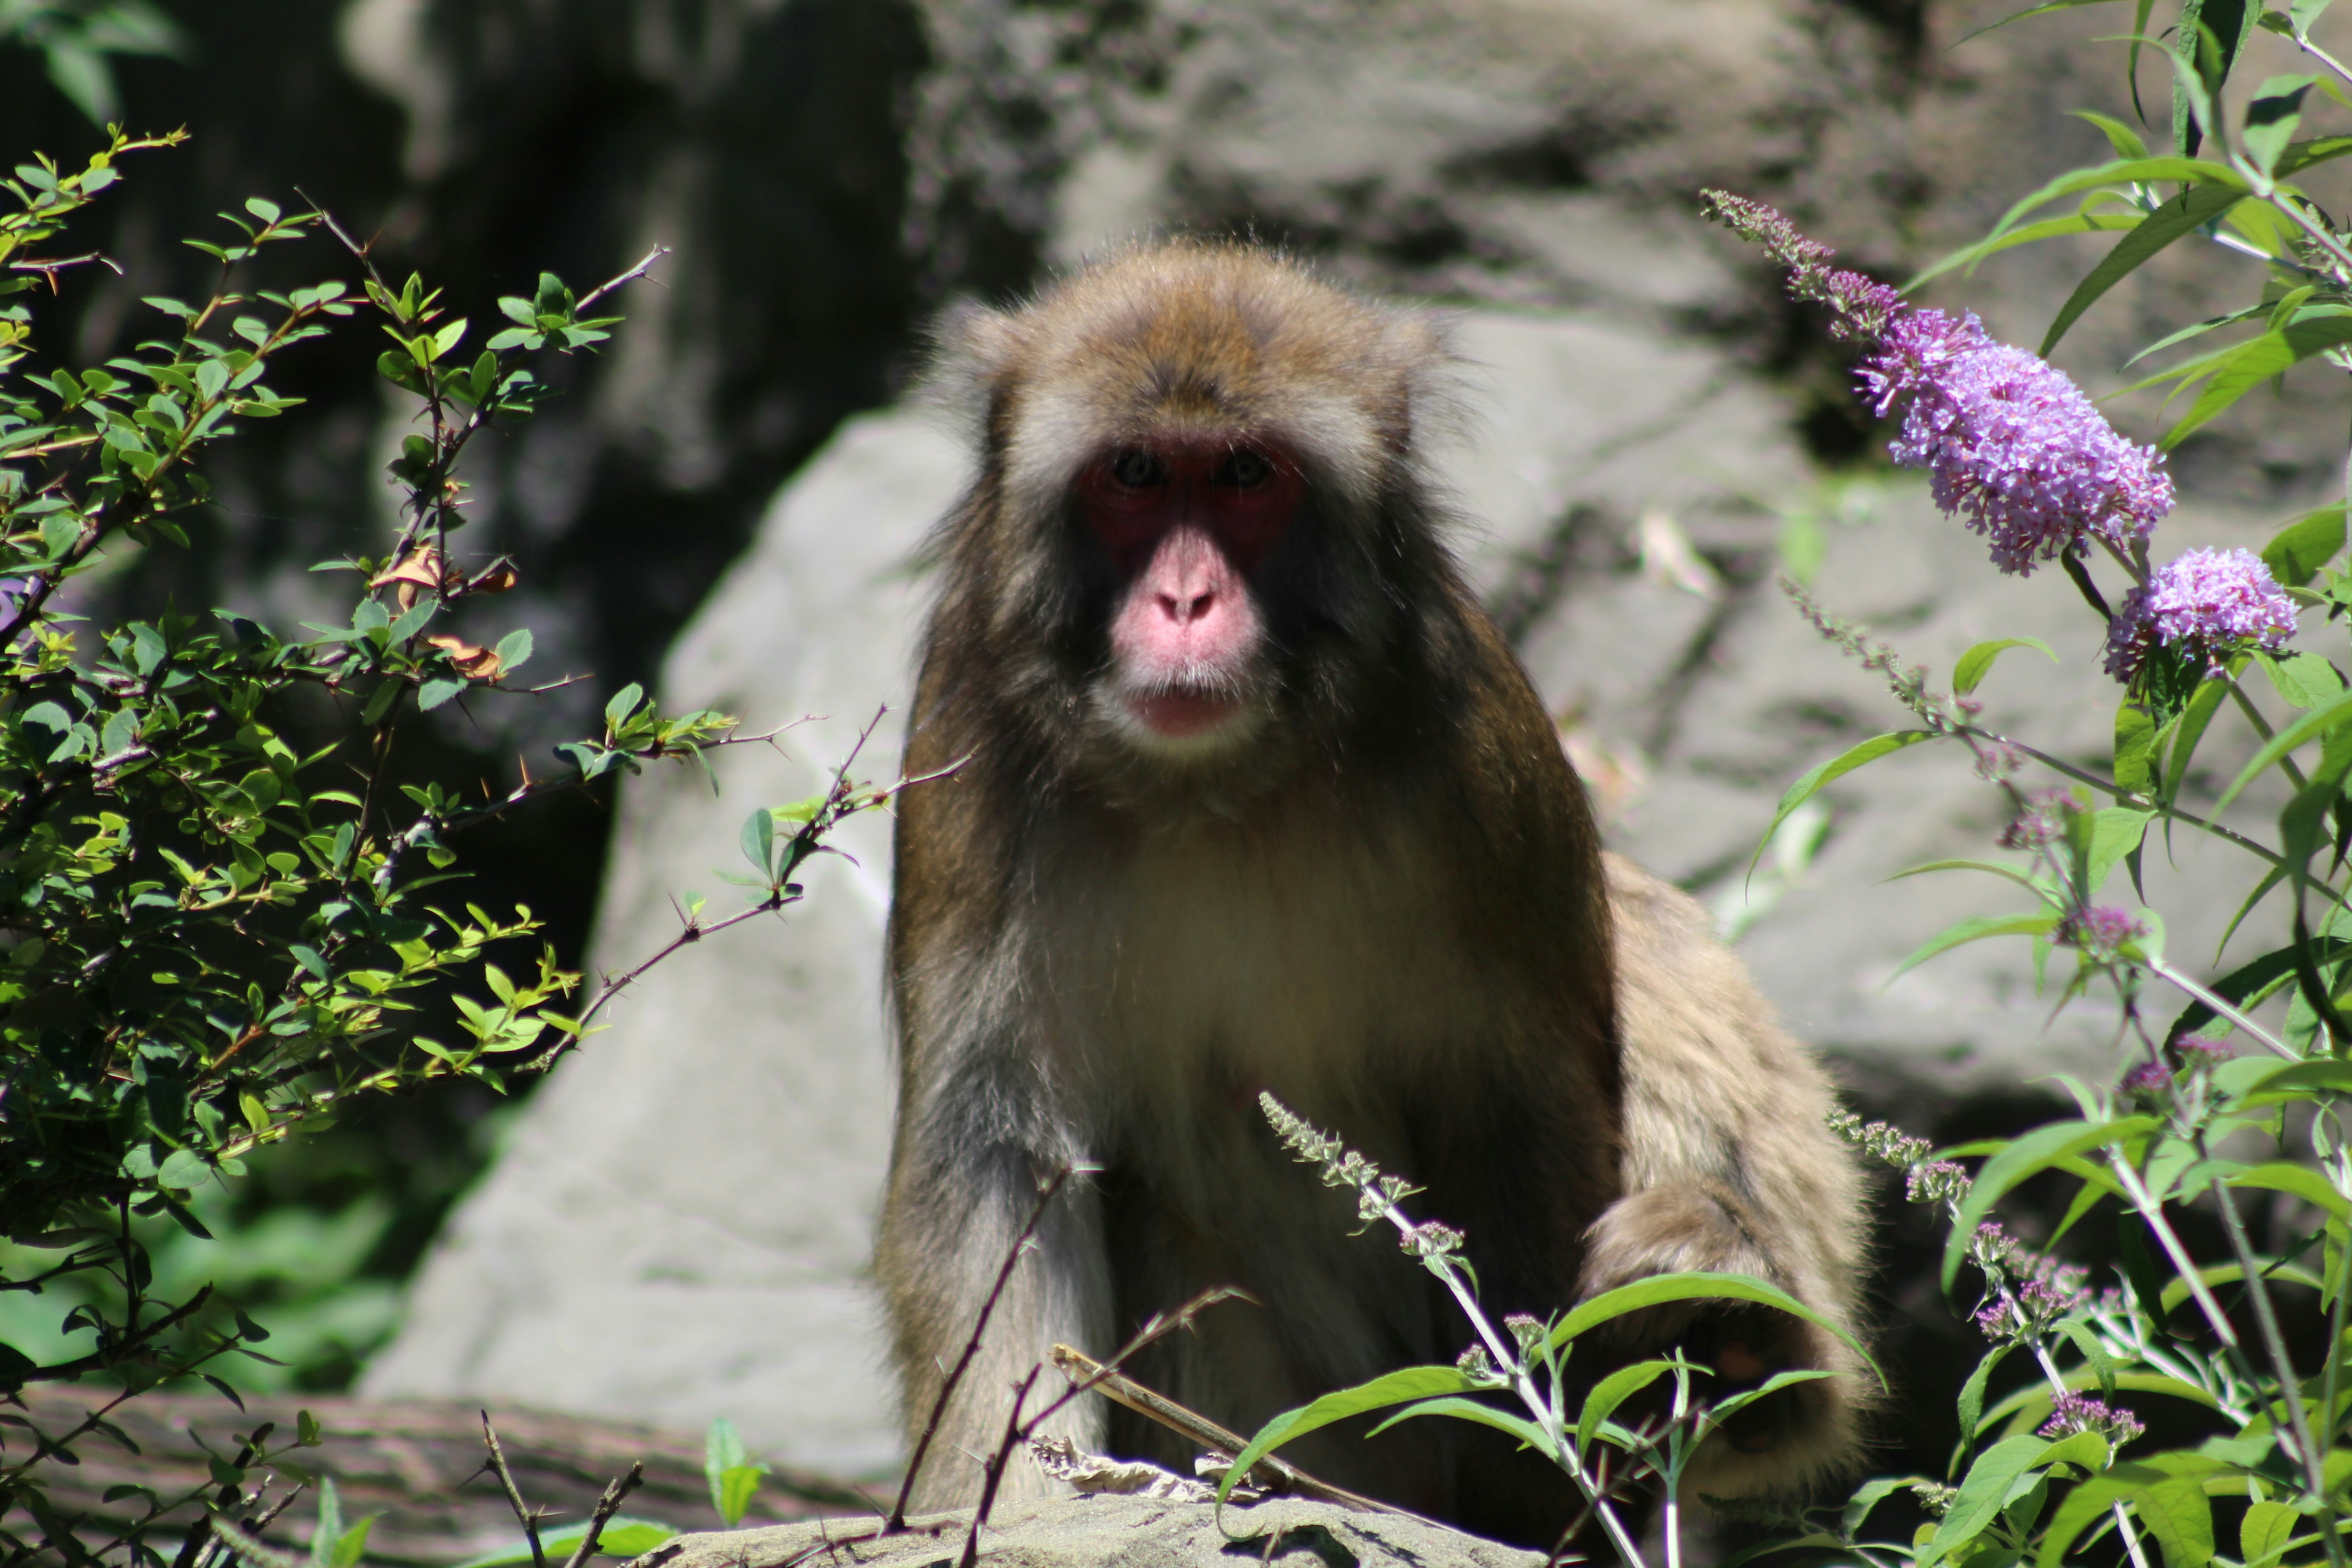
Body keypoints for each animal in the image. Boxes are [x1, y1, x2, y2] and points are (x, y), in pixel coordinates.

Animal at [875, 239, 1869, 1548]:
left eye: (1247, 476)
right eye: (1135, 475)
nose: (1185, 603)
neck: (1215, 788)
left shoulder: (1483, 764)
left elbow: (1514, 1106)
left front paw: (1554, 1479)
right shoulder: (963, 761)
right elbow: (993, 1161)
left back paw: (1733, 1331)